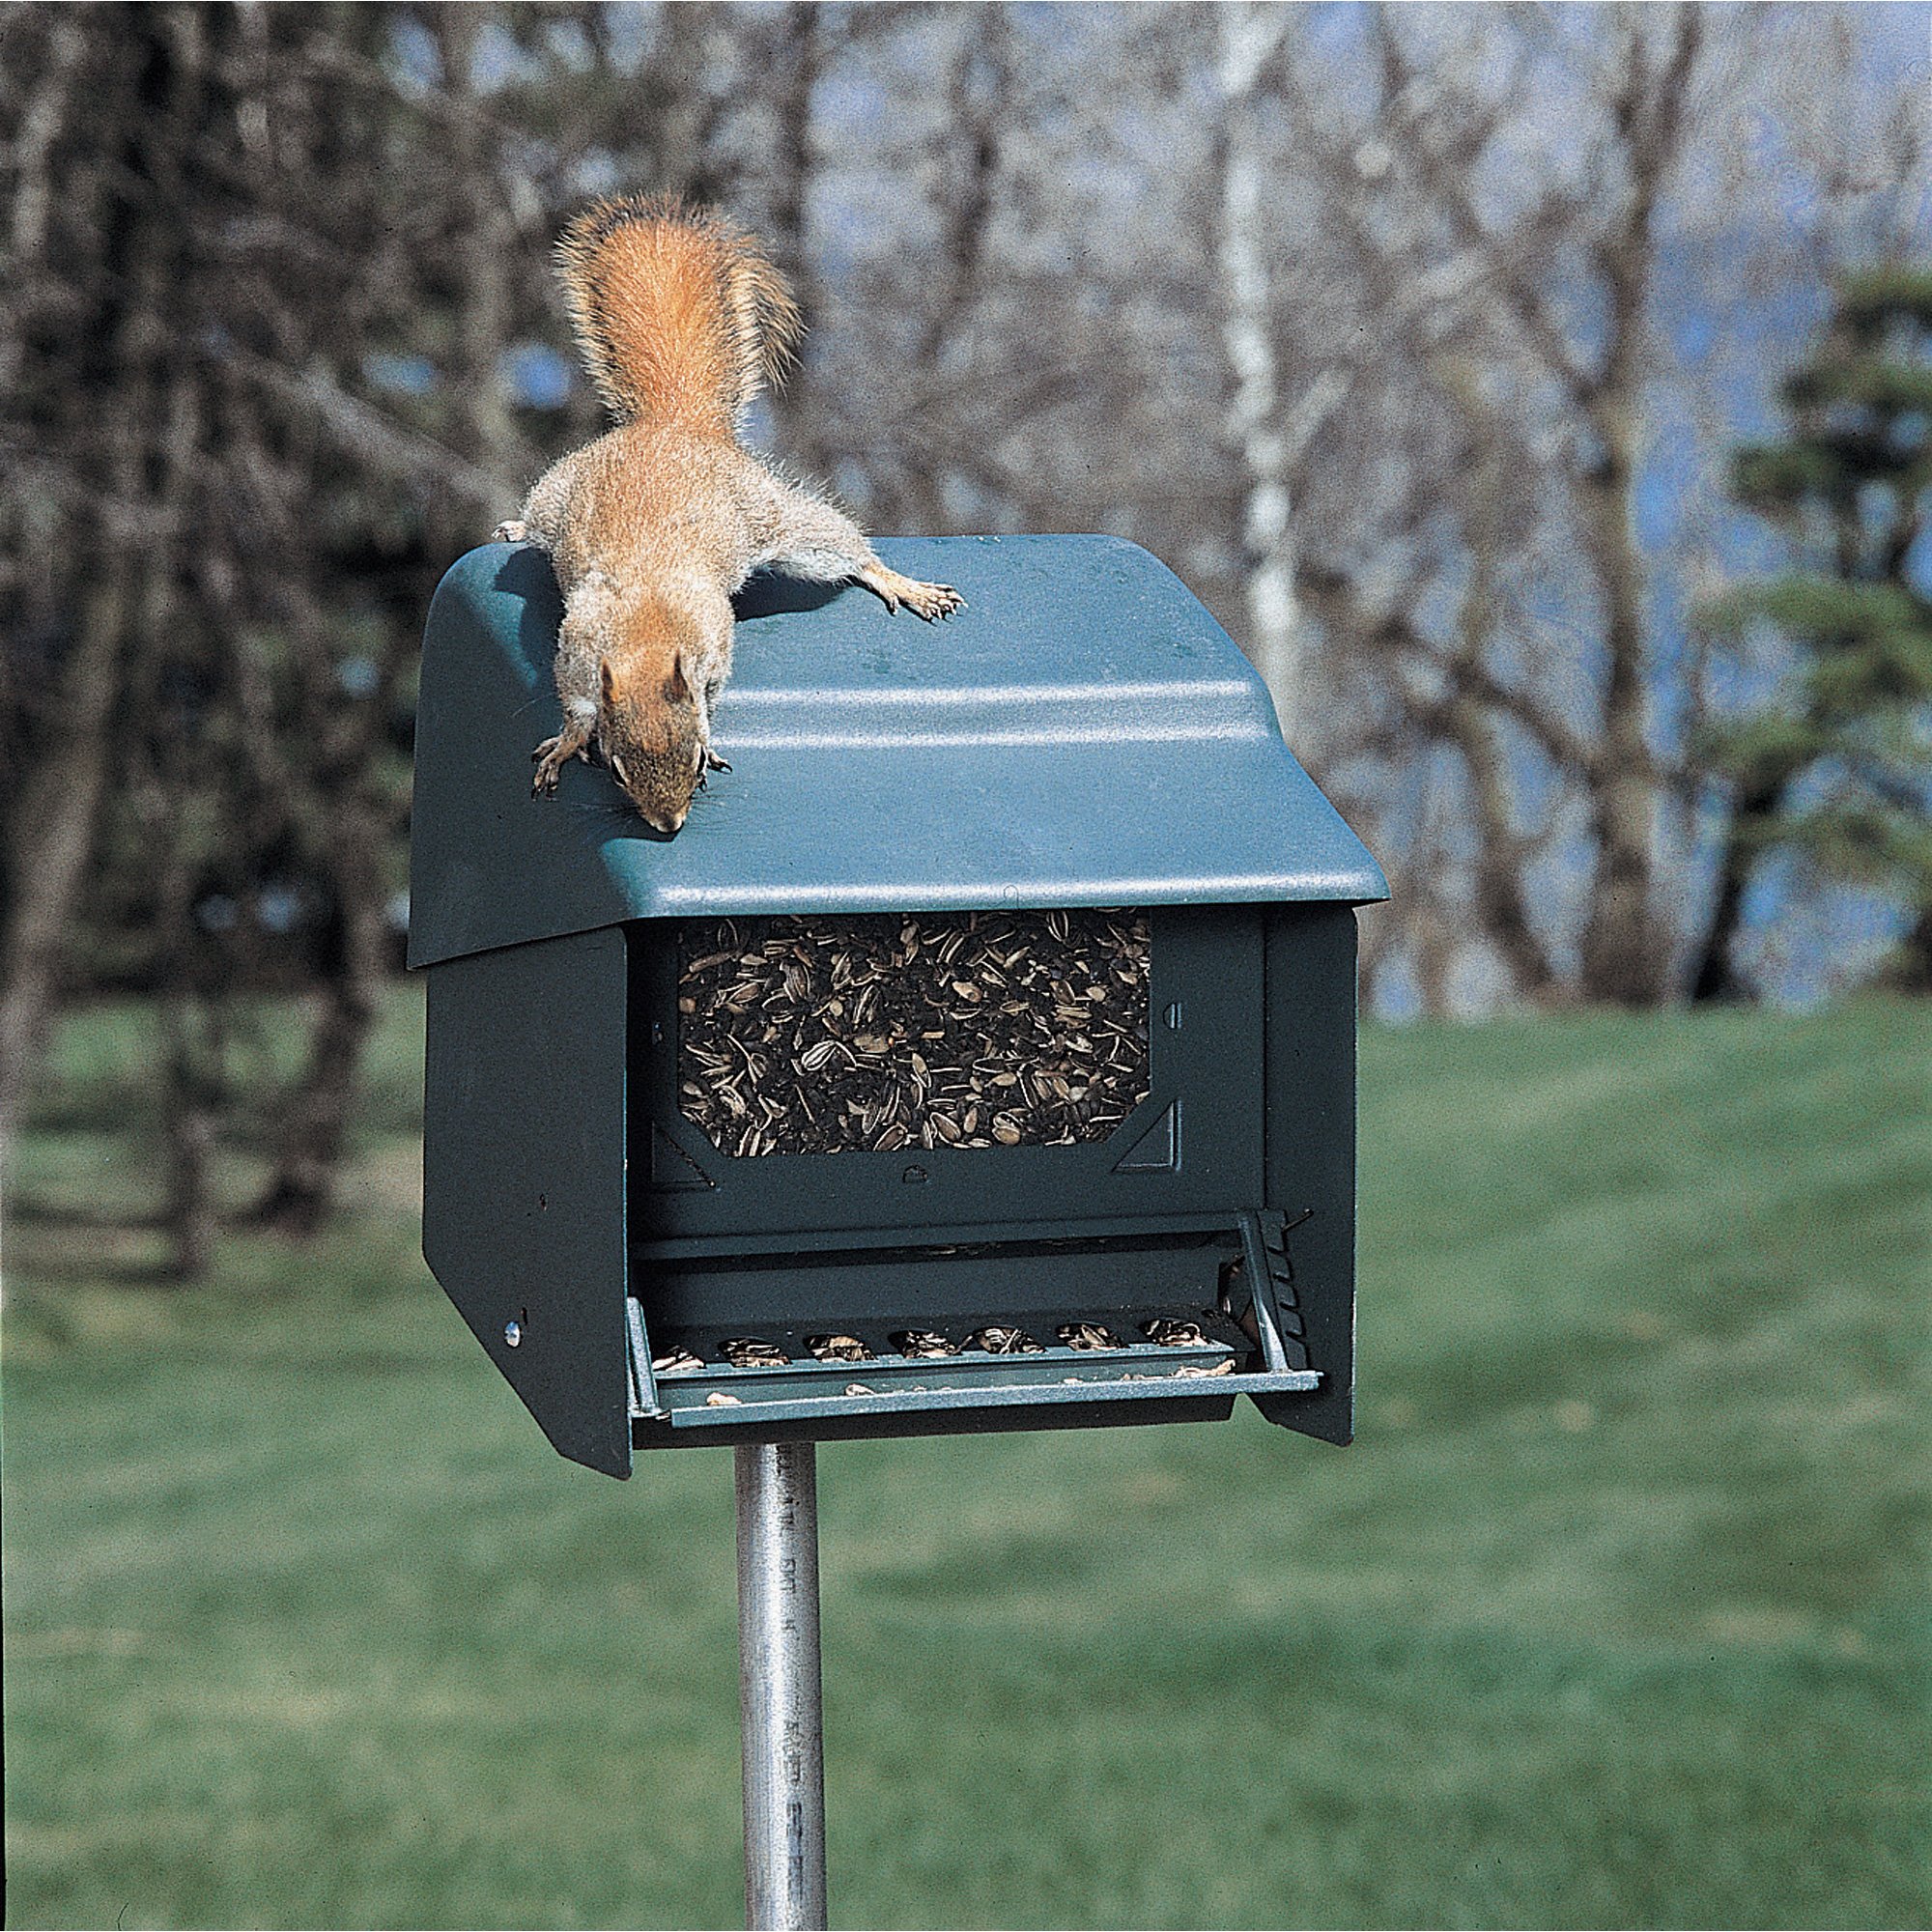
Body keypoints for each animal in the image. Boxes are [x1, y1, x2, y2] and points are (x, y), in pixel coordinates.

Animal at [493, 194, 963, 834]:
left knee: (843, 549)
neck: (647, 629)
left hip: (776, 522)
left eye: (692, 760)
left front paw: (714, 737)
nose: (669, 826)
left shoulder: (713, 640)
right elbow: (575, 706)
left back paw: (898, 581)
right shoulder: (579, 649)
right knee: (537, 520)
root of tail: (674, 423)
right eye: (616, 769)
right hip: (557, 497)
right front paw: (568, 743)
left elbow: (713, 691)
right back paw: (515, 527)